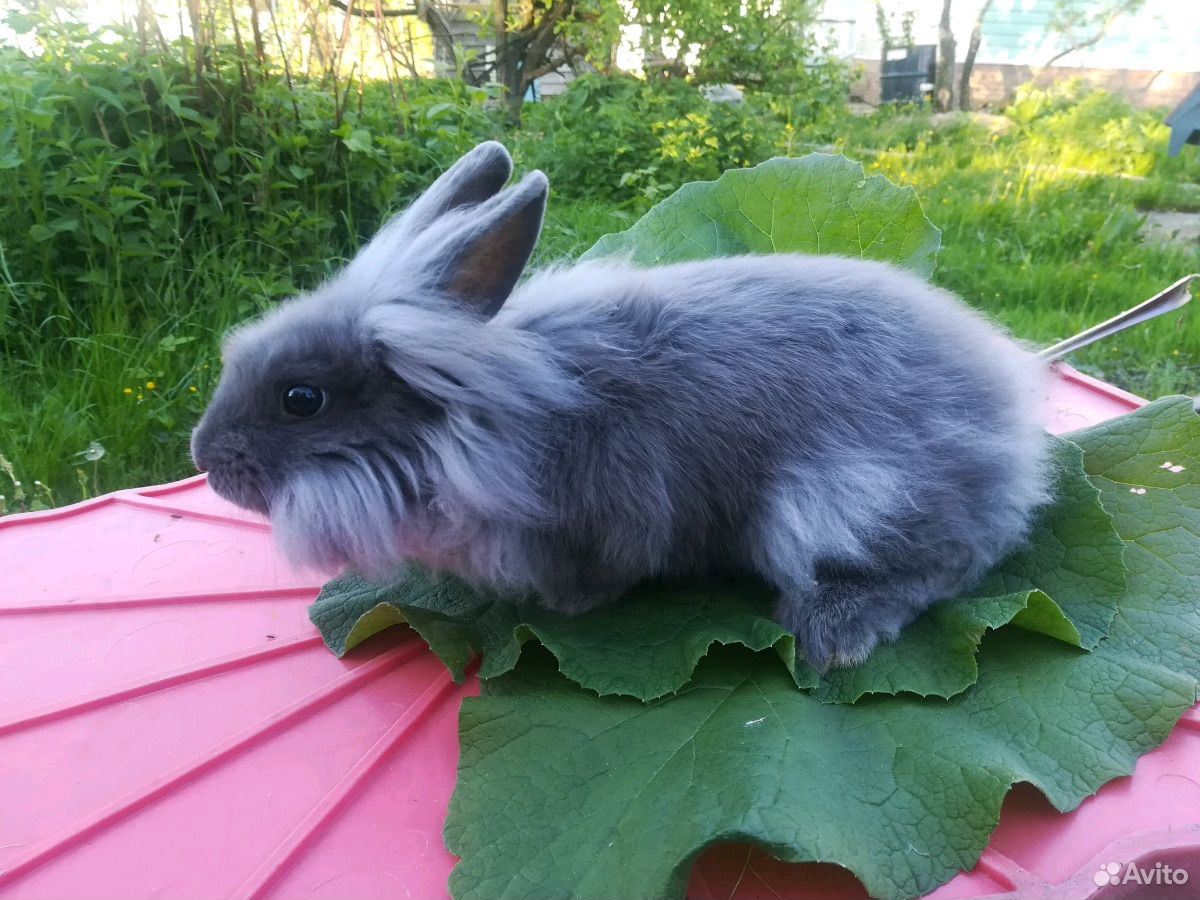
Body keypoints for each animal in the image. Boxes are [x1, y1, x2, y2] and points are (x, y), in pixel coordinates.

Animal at [191, 141, 1052, 670]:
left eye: (302, 399)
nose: (207, 460)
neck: (494, 424)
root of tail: (1011, 423)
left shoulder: (609, 518)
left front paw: (567, 607)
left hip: (847, 497)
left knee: (952, 564)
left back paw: (833, 629)